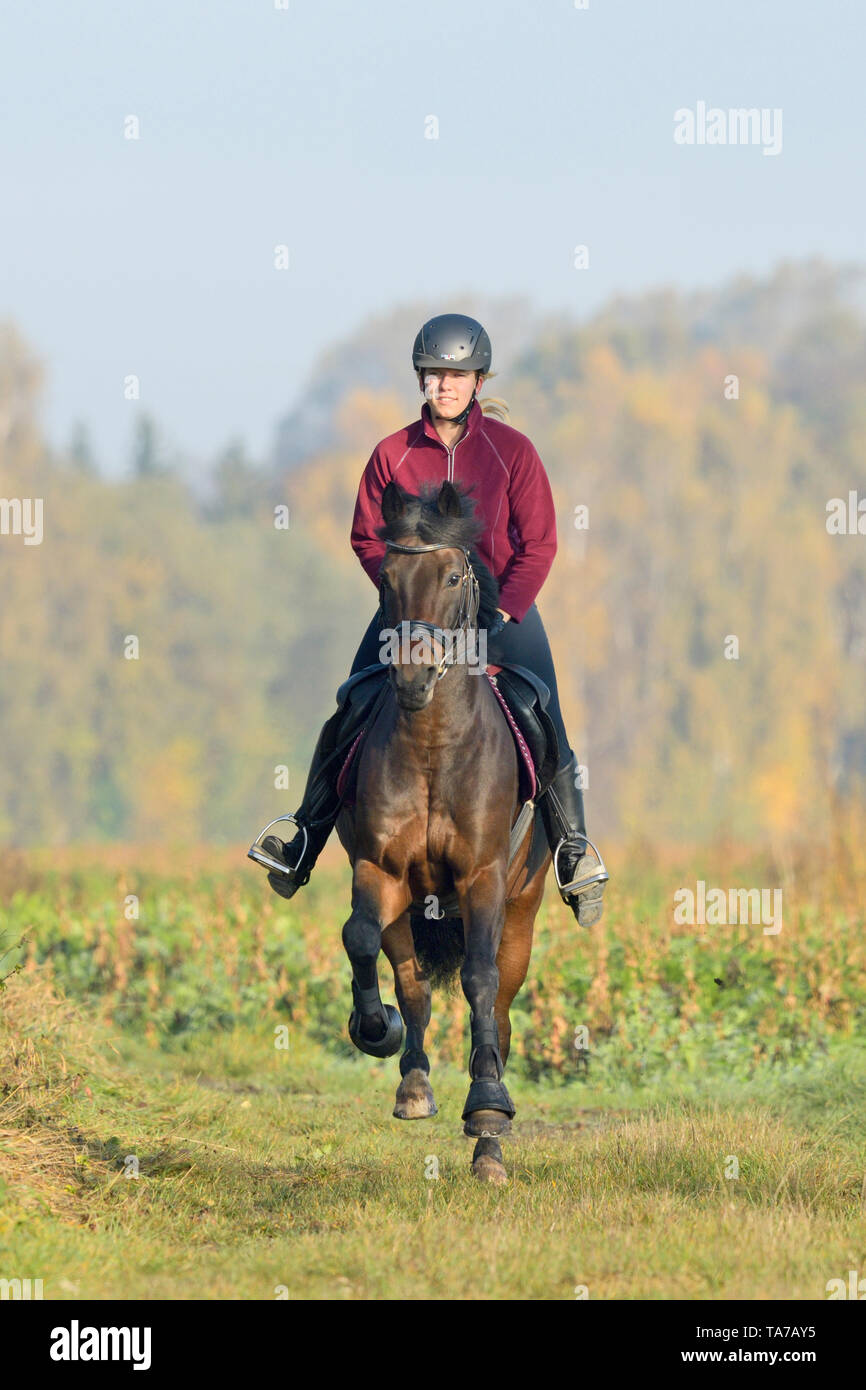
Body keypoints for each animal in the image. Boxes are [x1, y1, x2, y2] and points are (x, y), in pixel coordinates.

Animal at [334, 478, 553, 1184]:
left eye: (454, 575)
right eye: (387, 578)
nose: (412, 675)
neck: (434, 743)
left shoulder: (483, 877)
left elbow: (480, 982)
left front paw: (486, 1108)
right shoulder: (380, 869)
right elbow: (360, 939)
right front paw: (376, 1030)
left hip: (522, 912)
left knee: (500, 1011)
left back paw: (489, 1137)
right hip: (410, 903)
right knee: (412, 981)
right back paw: (415, 1082)